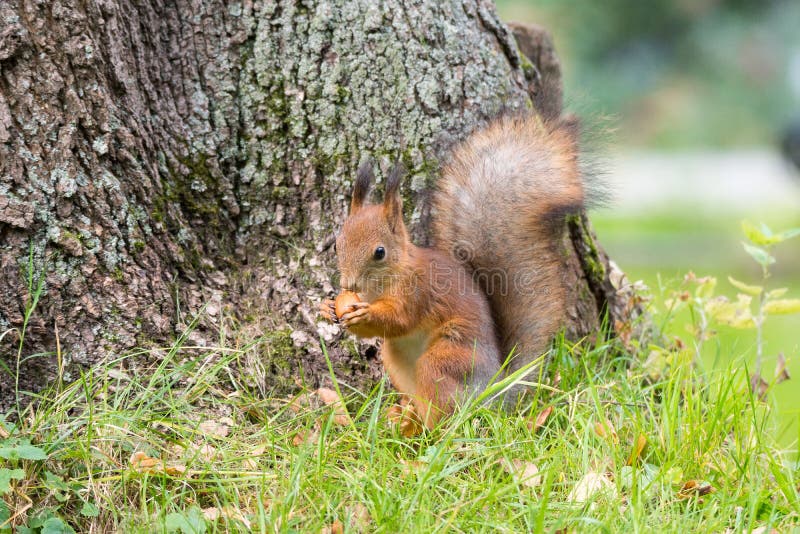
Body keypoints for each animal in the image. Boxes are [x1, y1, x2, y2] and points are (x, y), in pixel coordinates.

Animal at [319, 113, 584, 436]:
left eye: (379, 252)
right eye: (337, 244)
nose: (348, 283)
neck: (384, 282)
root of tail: (490, 390)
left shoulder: (420, 291)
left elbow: (400, 320)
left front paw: (364, 314)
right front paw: (327, 307)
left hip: (449, 359)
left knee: (446, 405)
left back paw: (432, 433)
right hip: (396, 360)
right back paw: (407, 421)